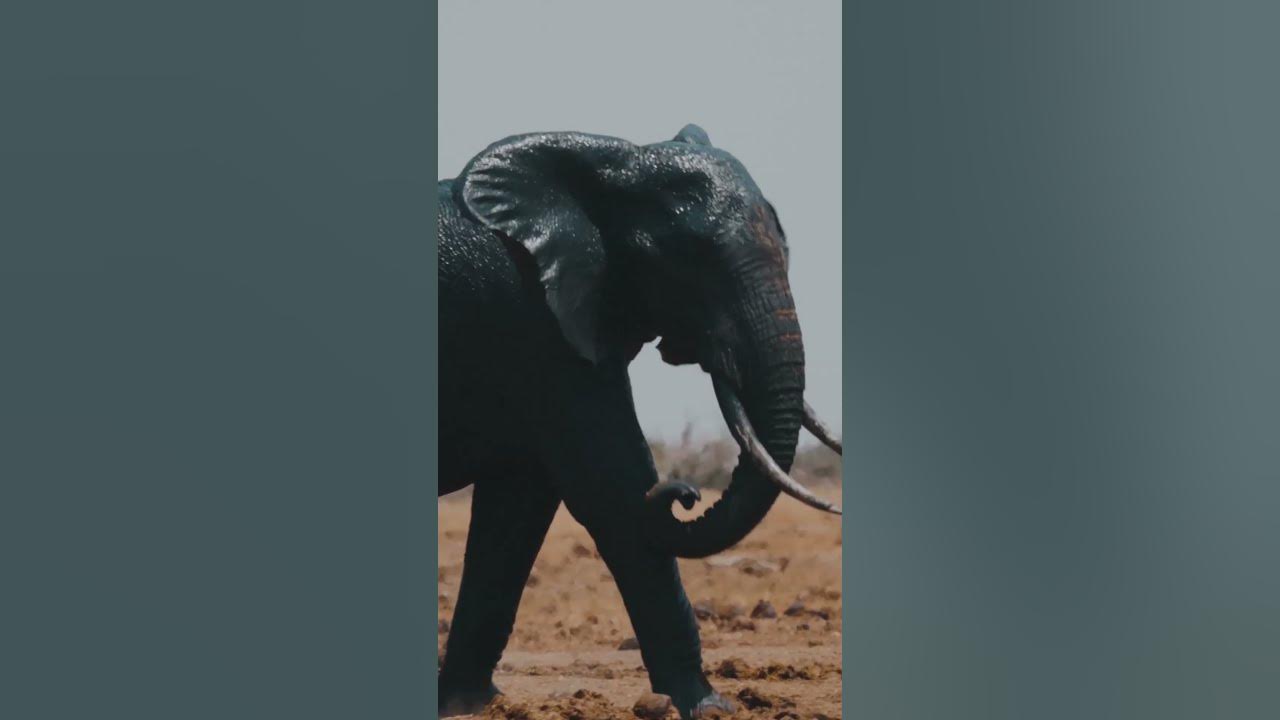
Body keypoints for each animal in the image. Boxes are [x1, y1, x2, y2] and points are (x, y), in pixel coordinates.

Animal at [437, 124, 842, 719]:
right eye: (690, 258)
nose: (686, 492)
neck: (611, 160)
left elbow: (519, 508)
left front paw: (469, 705)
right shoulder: (535, 323)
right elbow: (612, 490)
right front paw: (710, 708)